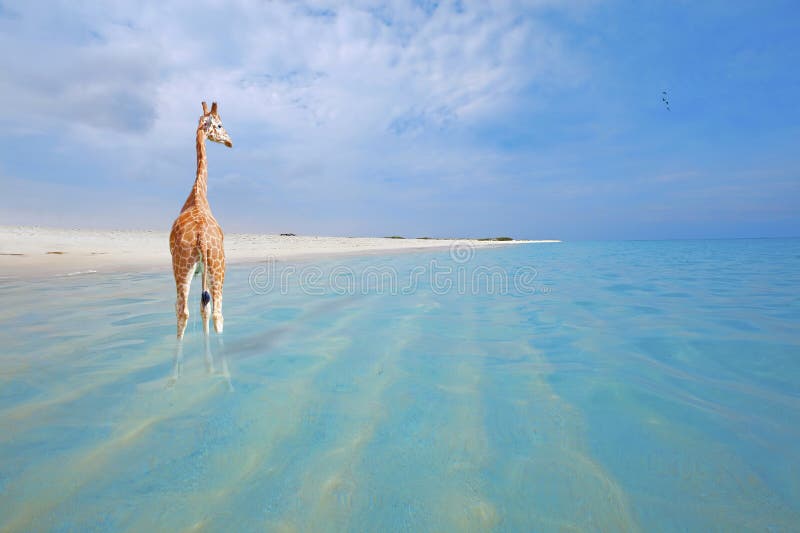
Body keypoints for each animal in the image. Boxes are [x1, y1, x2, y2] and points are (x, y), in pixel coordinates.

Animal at [169, 101, 233, 351]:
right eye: (220, 124)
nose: (229, 141)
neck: (198, 195)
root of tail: (201, 237)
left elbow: (201, 309)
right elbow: (205, 309)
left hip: (184, 265)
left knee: (183, 312)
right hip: (215, 265)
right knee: (216, 313)